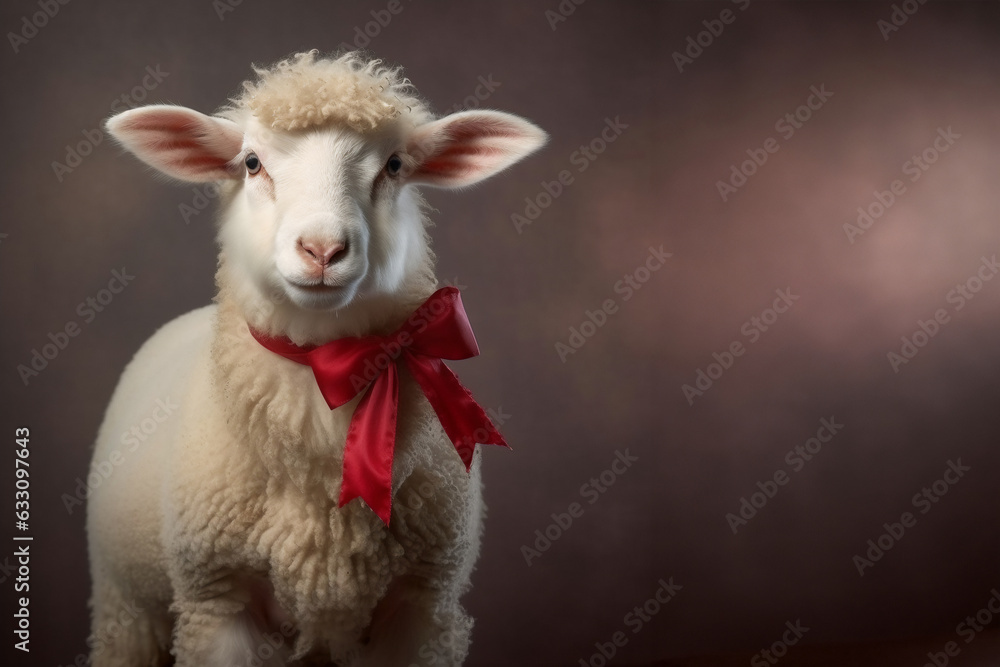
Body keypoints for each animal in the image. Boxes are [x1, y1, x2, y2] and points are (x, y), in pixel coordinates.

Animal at [87, 50, 546, 667]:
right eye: (252, 163)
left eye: (394, 165)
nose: (323, 249)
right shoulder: (218, 602)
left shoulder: (424, 607)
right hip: (126, 606)